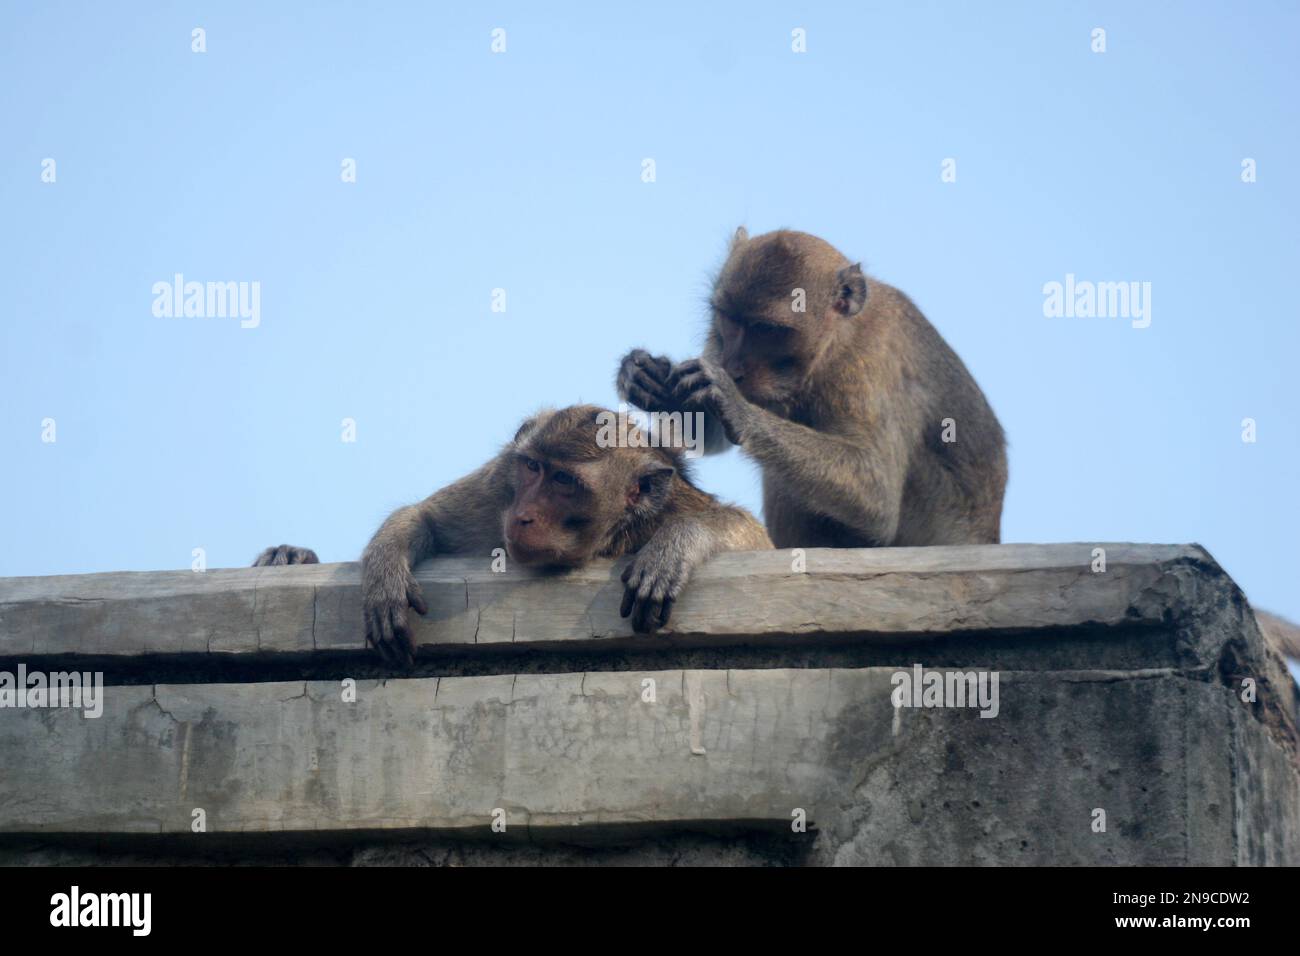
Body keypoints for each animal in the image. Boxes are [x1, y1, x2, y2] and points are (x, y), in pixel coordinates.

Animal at [359, 404, 772, 666]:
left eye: (563, 480)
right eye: (532, 467)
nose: (523, 516)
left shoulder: (667, 508)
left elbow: (759, 541)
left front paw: (673, 548)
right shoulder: (497, 487)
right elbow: (425, 517)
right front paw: (385, 576)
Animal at [617, 228, 1007, 549]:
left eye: (767, 330)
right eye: (730, 318)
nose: (734, 369)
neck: (835, 341)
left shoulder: (871, 362)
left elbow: (877, 497)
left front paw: (733, 406)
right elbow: (704, 433)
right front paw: (652, 381)